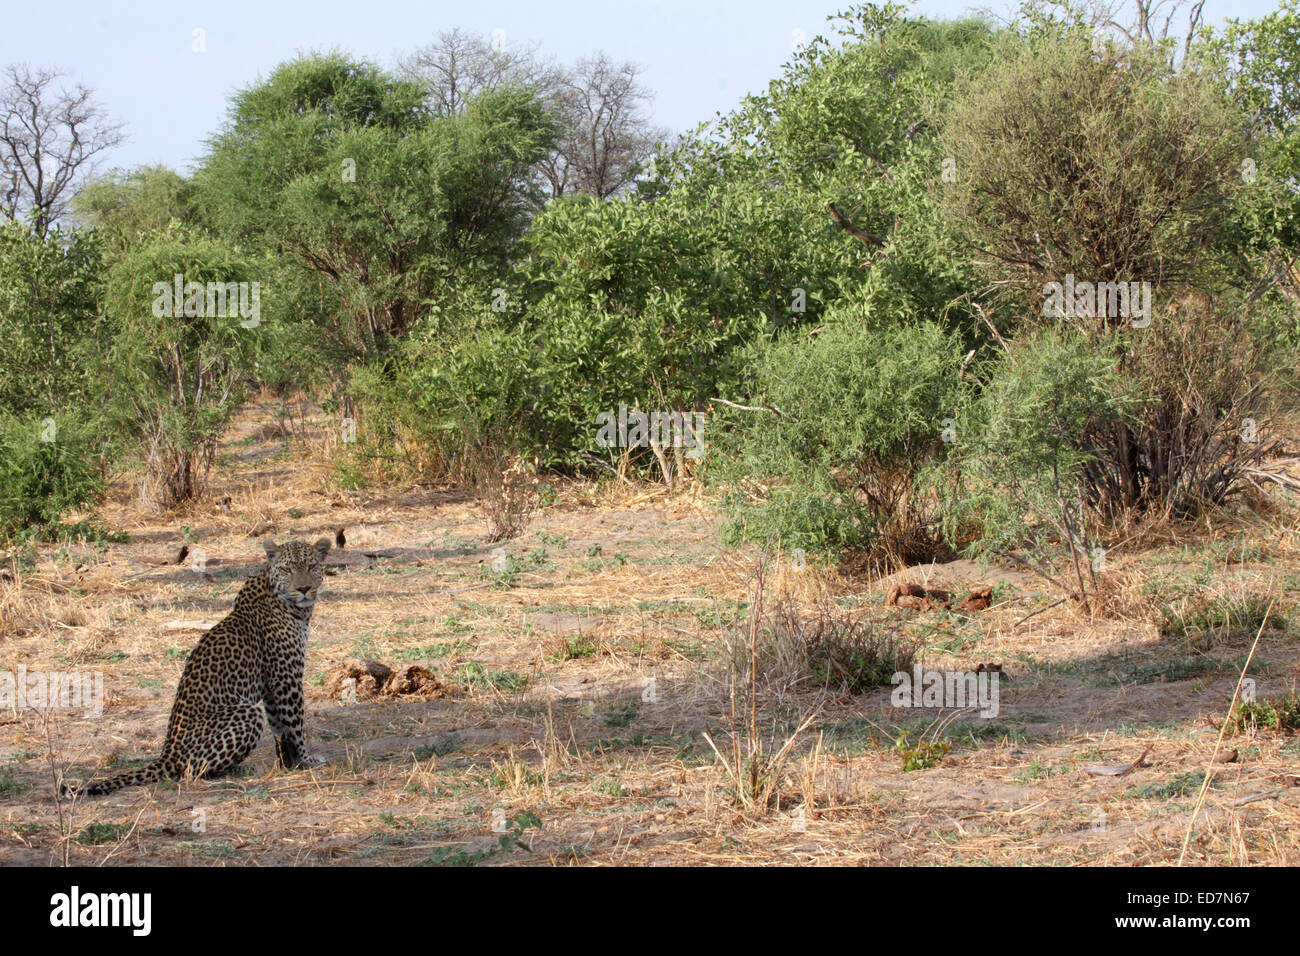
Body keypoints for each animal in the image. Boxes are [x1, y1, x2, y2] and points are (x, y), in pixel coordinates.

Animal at [62, 537, 333, 798]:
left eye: (311, 566)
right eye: (288, 569)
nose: (304, 589)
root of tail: (167, 755)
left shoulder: (271, 684)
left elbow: (279, 727)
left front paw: (287, 762)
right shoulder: (286, 677)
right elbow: (296, 725)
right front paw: (306, 760)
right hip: (246, 713)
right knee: (191, 772)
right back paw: (243, 769)